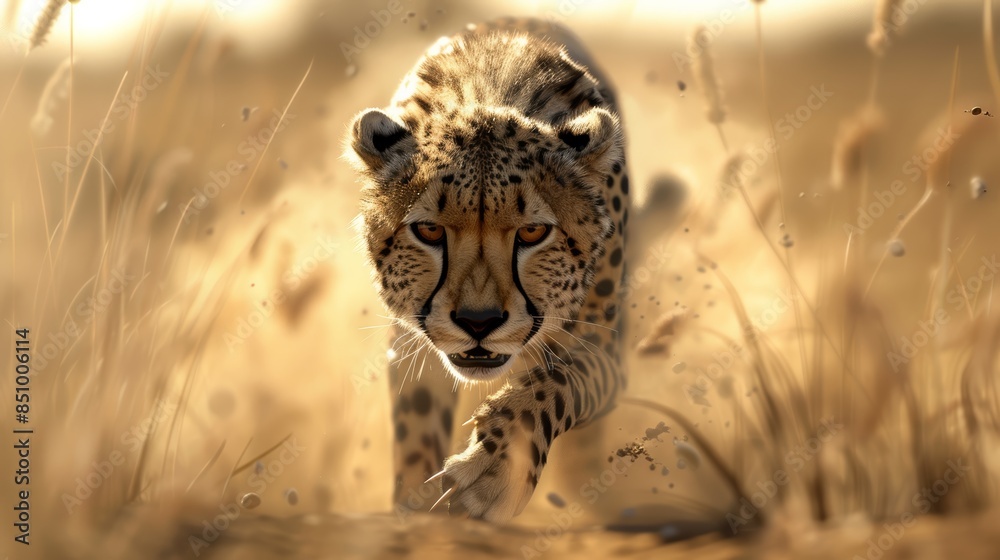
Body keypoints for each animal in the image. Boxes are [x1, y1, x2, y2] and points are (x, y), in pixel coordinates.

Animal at [347, 18, 634, 523]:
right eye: (428, 230)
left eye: (533, 232)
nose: (478, 323)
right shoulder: (412, 339)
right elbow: (416, 422)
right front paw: (416, 509)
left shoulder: (603, 349)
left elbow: (556, 383)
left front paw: (495, 469)